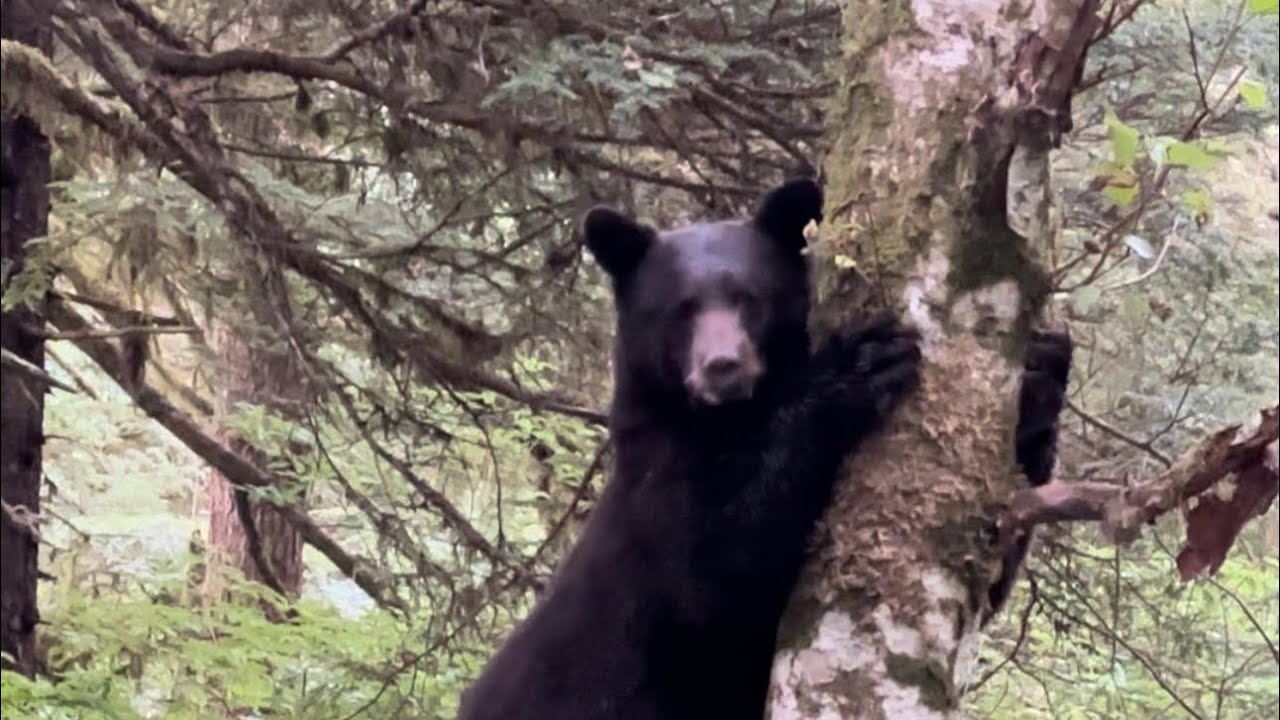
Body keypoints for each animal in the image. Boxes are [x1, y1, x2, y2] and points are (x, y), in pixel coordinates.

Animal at [455, 178, 923, 720]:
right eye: (680, 308)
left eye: (747, 297)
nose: (722, 366)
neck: (723, 422)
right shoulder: (657, 490)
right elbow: (718, 575)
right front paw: (858, 367)